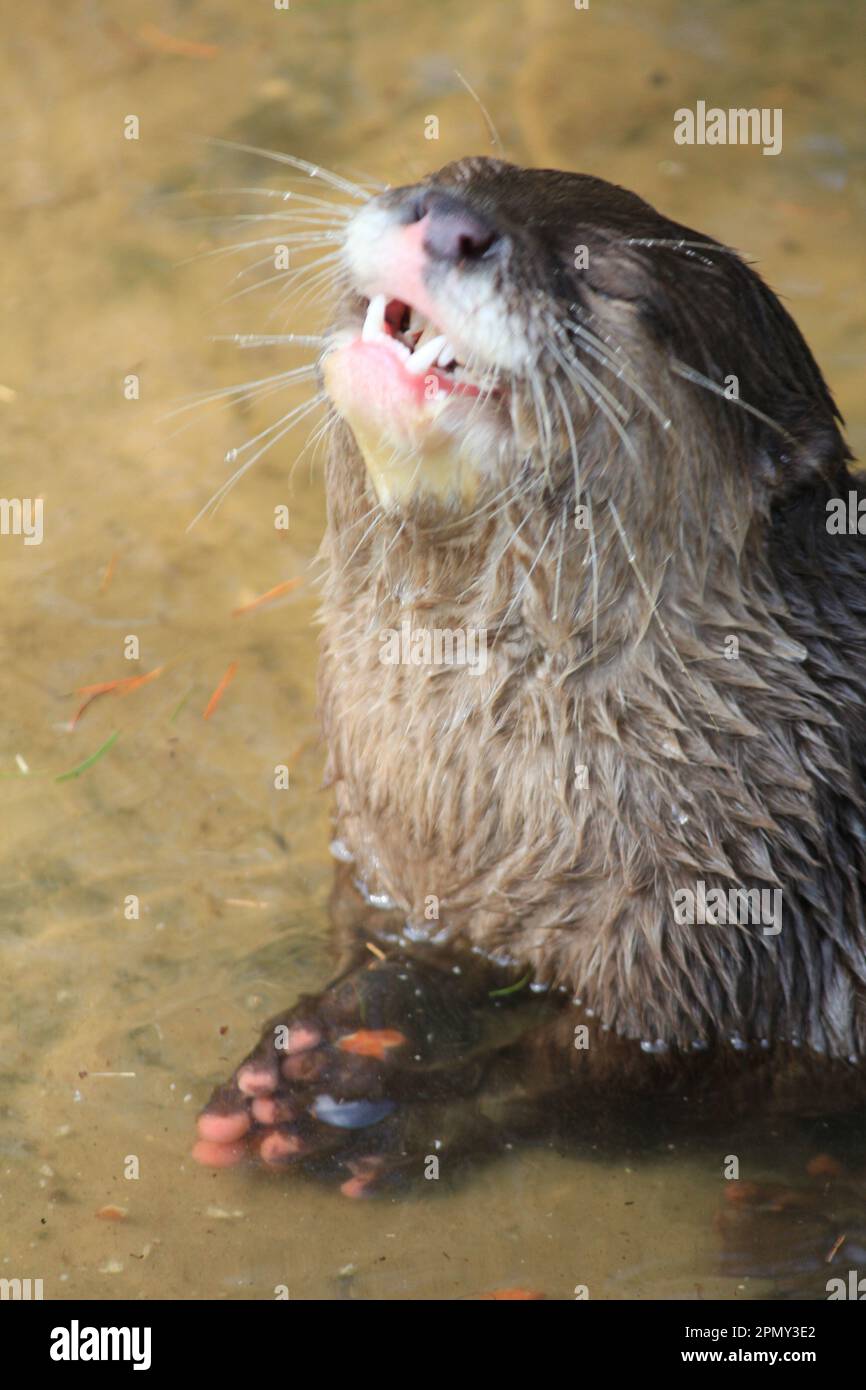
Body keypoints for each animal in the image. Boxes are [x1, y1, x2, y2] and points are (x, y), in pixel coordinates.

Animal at [193, 157, 866, 1221]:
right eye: (452, 174)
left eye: (613, 278)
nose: (452, 221)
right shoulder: (391, 854)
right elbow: (405, 957)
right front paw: (318, 1049)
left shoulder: (750, 946)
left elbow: (605, 1078)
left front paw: (383, 1108)